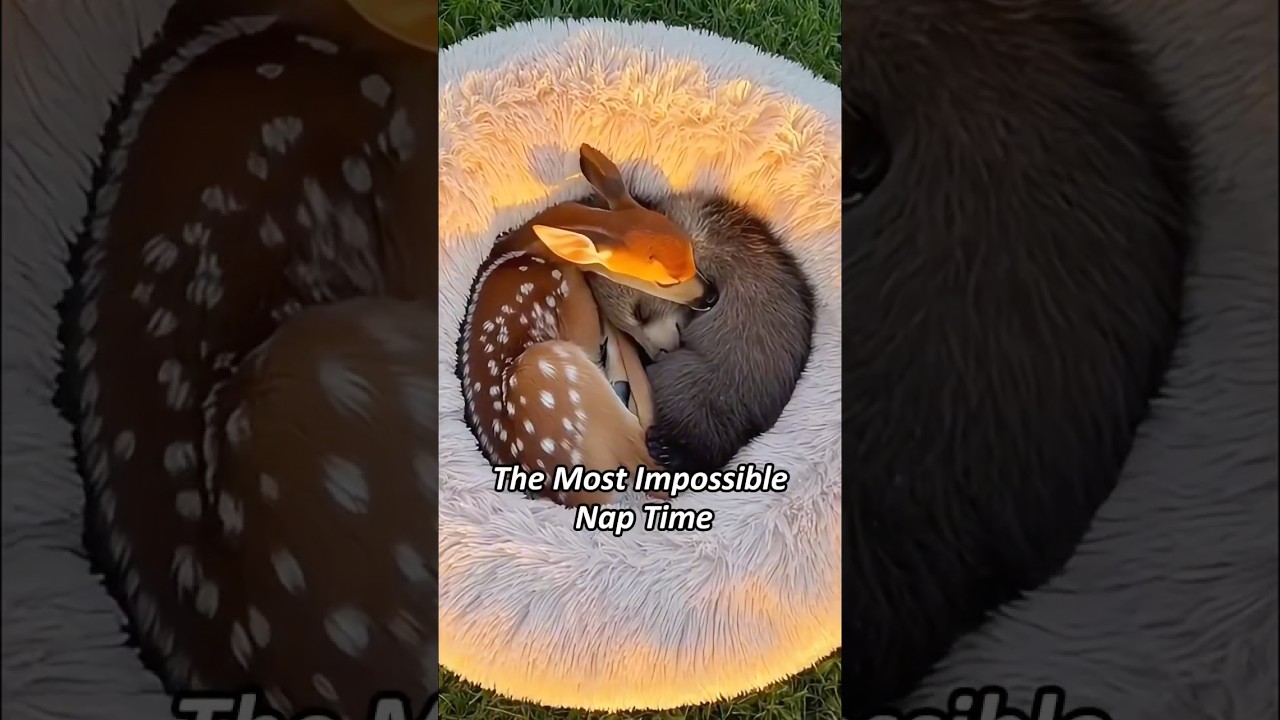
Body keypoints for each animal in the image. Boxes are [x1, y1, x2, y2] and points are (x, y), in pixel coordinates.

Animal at [458, 144, 719, 508]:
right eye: (665, 281)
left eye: (692, 252)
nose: (710, 295)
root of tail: (582, 496)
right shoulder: (577, 310)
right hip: (557, 371)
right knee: (649, 466)